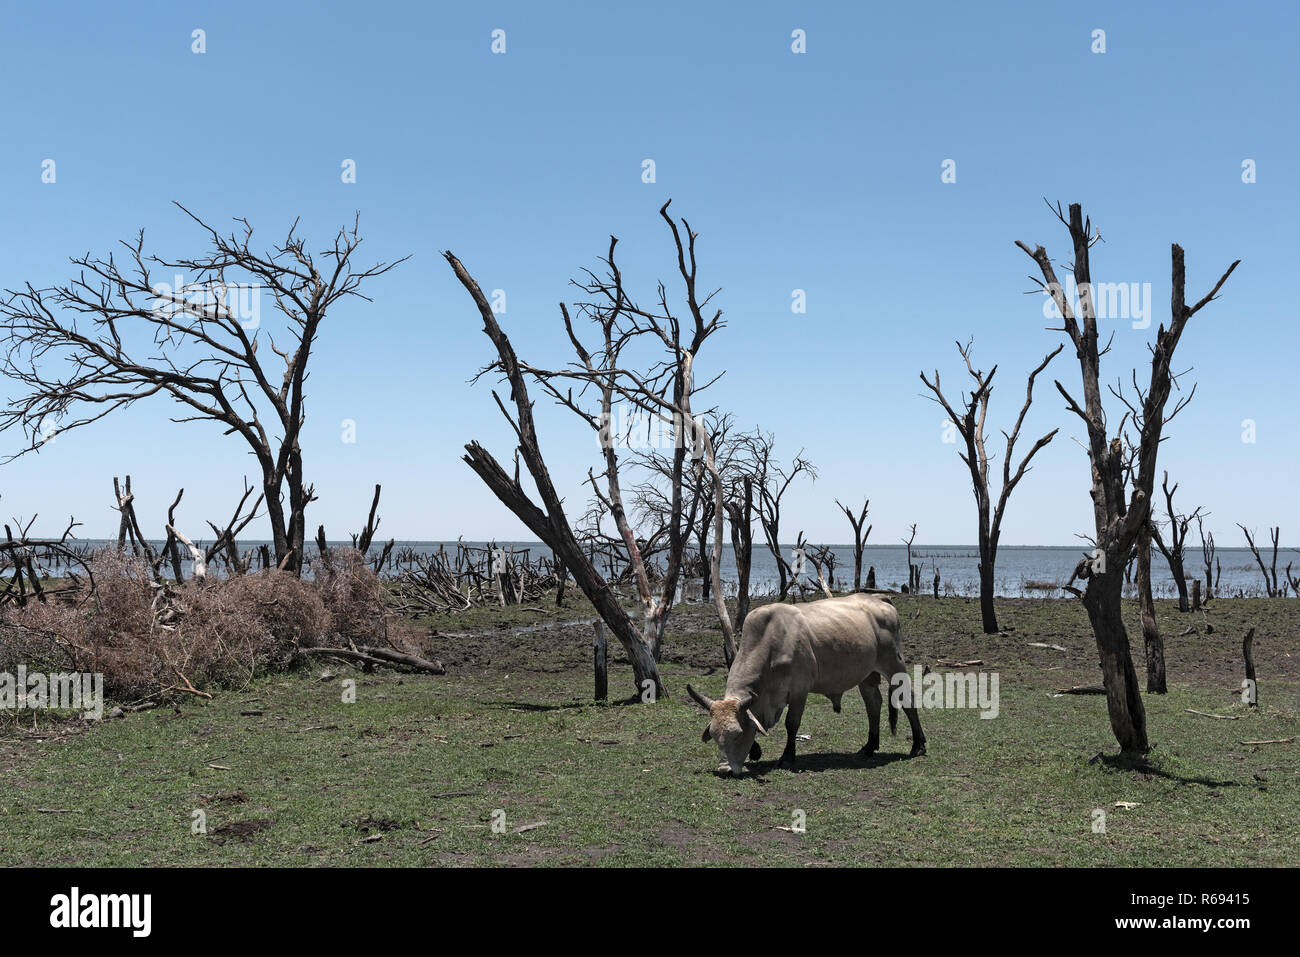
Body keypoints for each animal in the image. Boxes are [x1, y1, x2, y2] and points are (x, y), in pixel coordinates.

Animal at [687, 593, 926, 776]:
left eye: (736, 734)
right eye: (714, 735)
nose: (724, 770)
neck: (770, 642)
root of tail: (878, 598)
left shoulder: (799, 691)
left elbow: (791, 724)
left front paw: (787, 756)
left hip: (894, 665)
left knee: (908, 699)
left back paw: (918, 746)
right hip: (867, 676)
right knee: (873, 705)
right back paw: (869, 747)